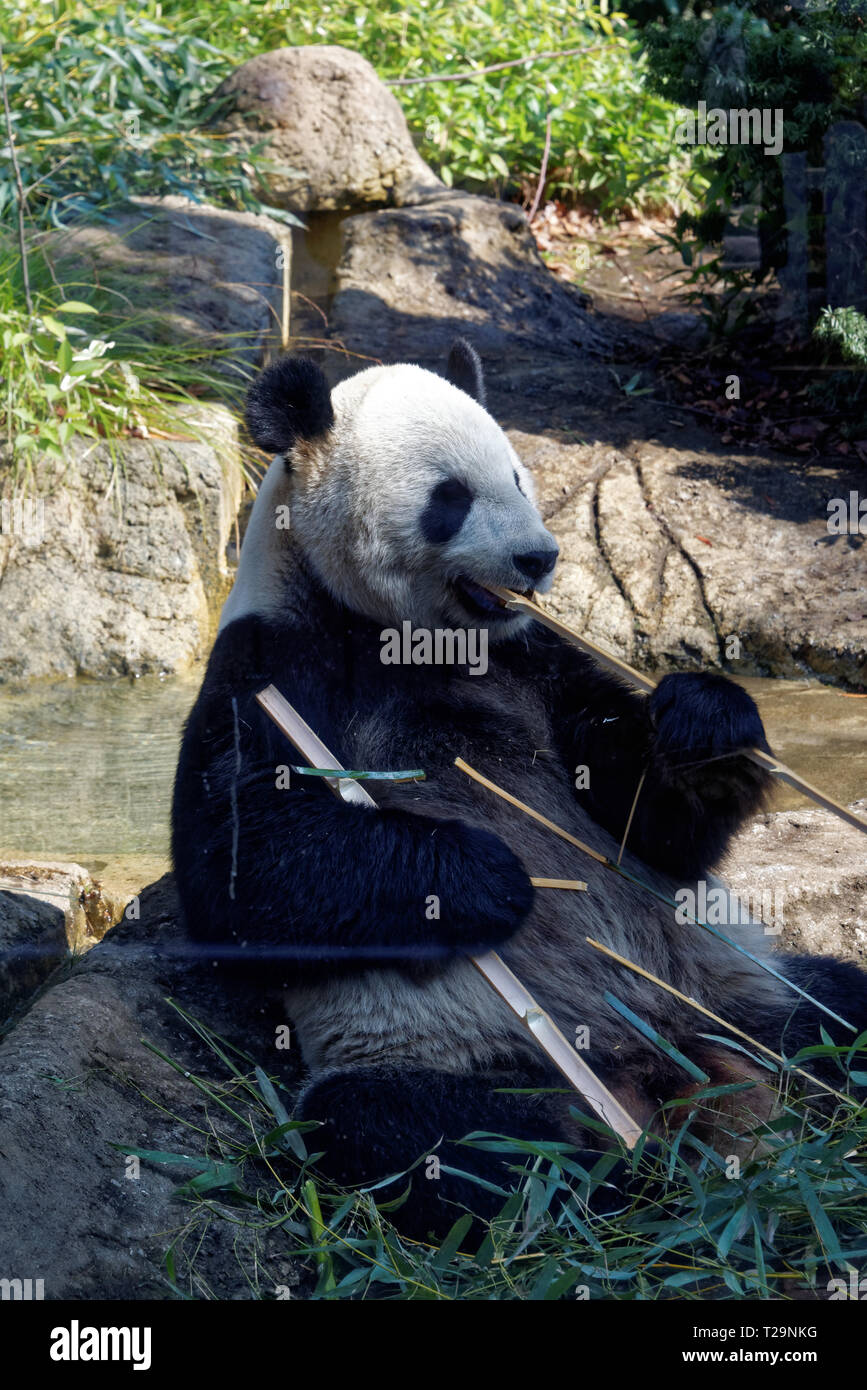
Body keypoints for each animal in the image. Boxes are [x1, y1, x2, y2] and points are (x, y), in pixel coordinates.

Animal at [172, 342, 867, 1241]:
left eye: (518, 479)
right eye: (450, 498)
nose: (539, 558)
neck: (417, 638)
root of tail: (674, 1067)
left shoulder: (535, 659)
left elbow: (655, 827)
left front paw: (706, 725)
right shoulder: (274, 661)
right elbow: (239, 864)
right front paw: (485, 878)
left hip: (737, 987)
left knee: (835, 1011)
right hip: (466, 1050)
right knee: (432, 1135)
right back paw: (625, 1184)